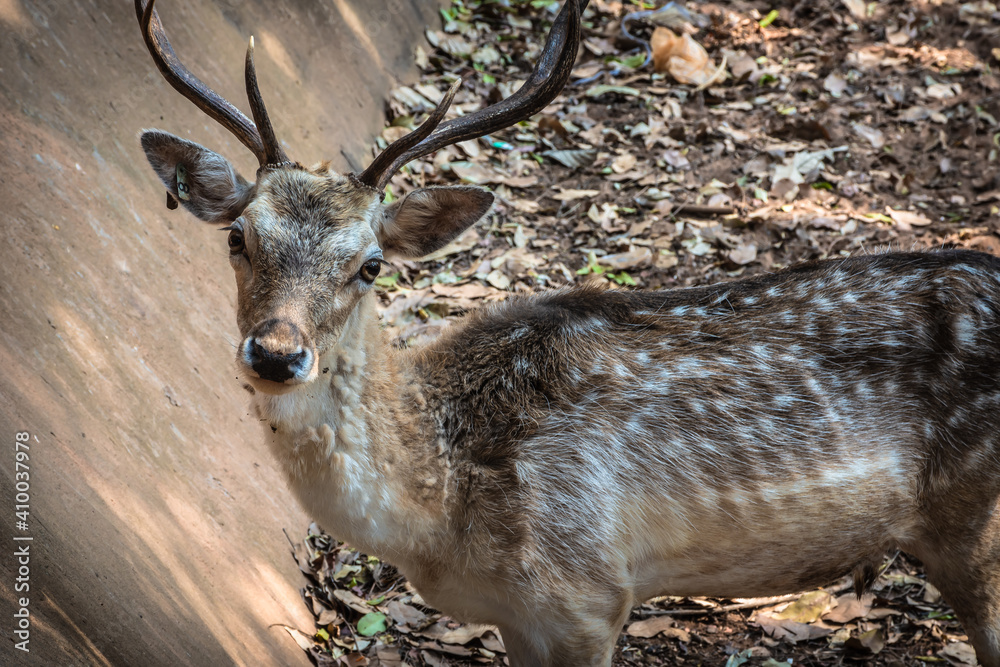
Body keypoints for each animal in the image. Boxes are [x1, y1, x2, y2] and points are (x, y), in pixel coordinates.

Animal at [134, 0, 1000, 664]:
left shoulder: (587, 594)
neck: (438, 517)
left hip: (979, 530)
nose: (277, 352)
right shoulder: (522, 618)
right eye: (239, 237)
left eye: (371, 264)